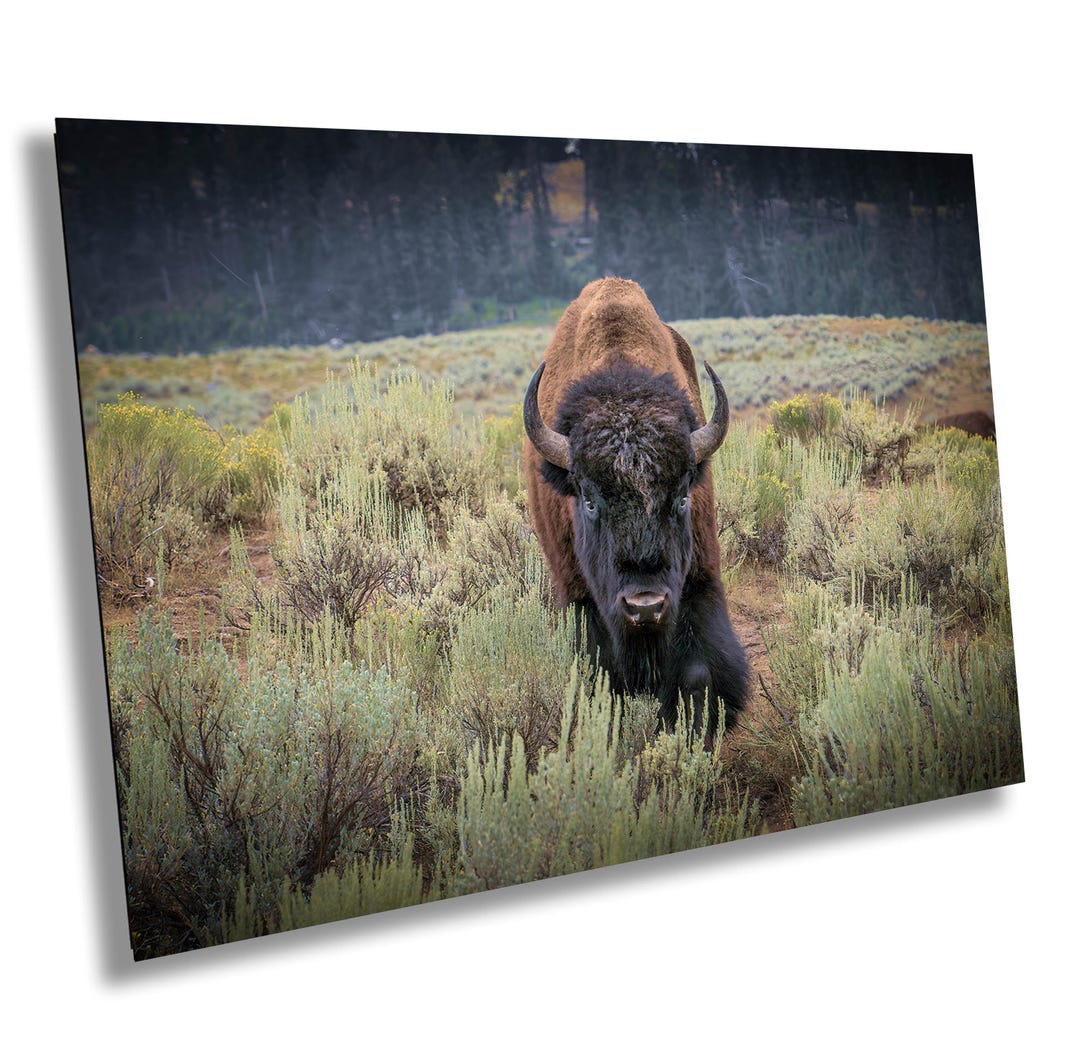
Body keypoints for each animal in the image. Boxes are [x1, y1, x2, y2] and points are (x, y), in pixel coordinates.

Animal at [523, 277, 747, 744]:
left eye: (681, 497)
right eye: (590, 499)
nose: (645, 606)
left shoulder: (699, 580)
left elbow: (698, 674)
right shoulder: (581, 600)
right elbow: (602, 677)